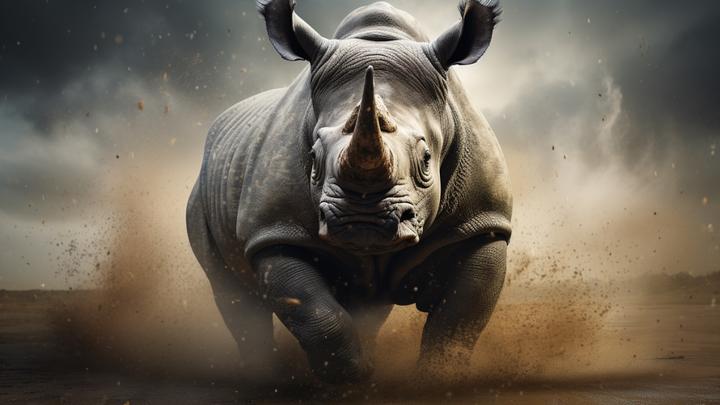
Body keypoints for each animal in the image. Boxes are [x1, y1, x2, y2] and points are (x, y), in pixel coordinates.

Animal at [186, 0, 512, 383]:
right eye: (313, 157)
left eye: (426, 159)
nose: (361, 222)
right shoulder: (276, 232)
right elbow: (319, 318)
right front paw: (347, 382)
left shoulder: (481, 224)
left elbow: (456, 325)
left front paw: (436, 381)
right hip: (202, 193)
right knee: (236, 297)